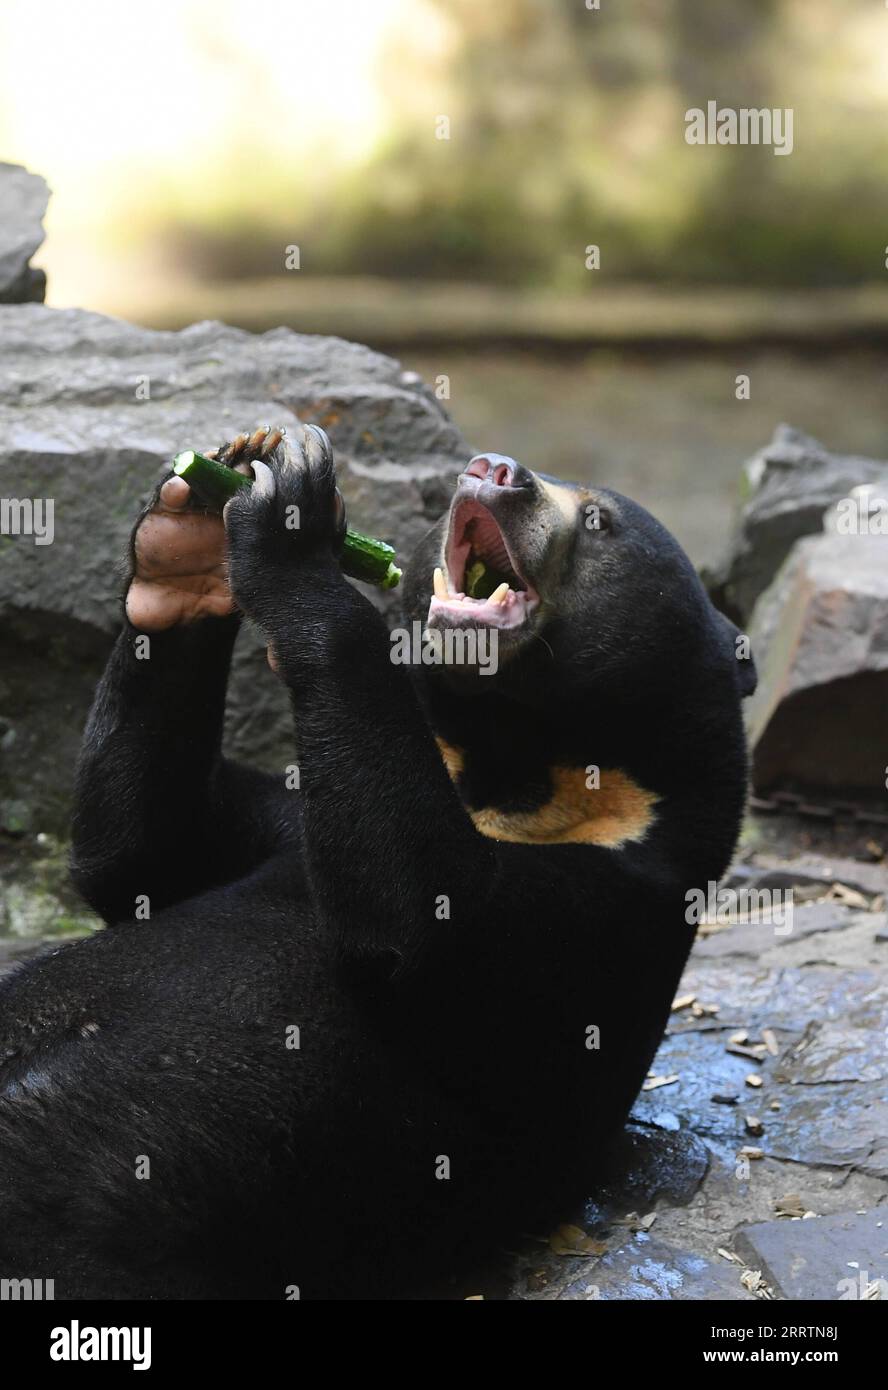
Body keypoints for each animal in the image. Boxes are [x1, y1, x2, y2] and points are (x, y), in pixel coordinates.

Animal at [0, 424, 756, 1299]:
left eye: (599, 522)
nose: (492, 471)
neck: (508, 771)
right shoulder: (285, 824)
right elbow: (145, 859)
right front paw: (182, 530)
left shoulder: (608, 911)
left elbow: (424, 920)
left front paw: (293, 521)